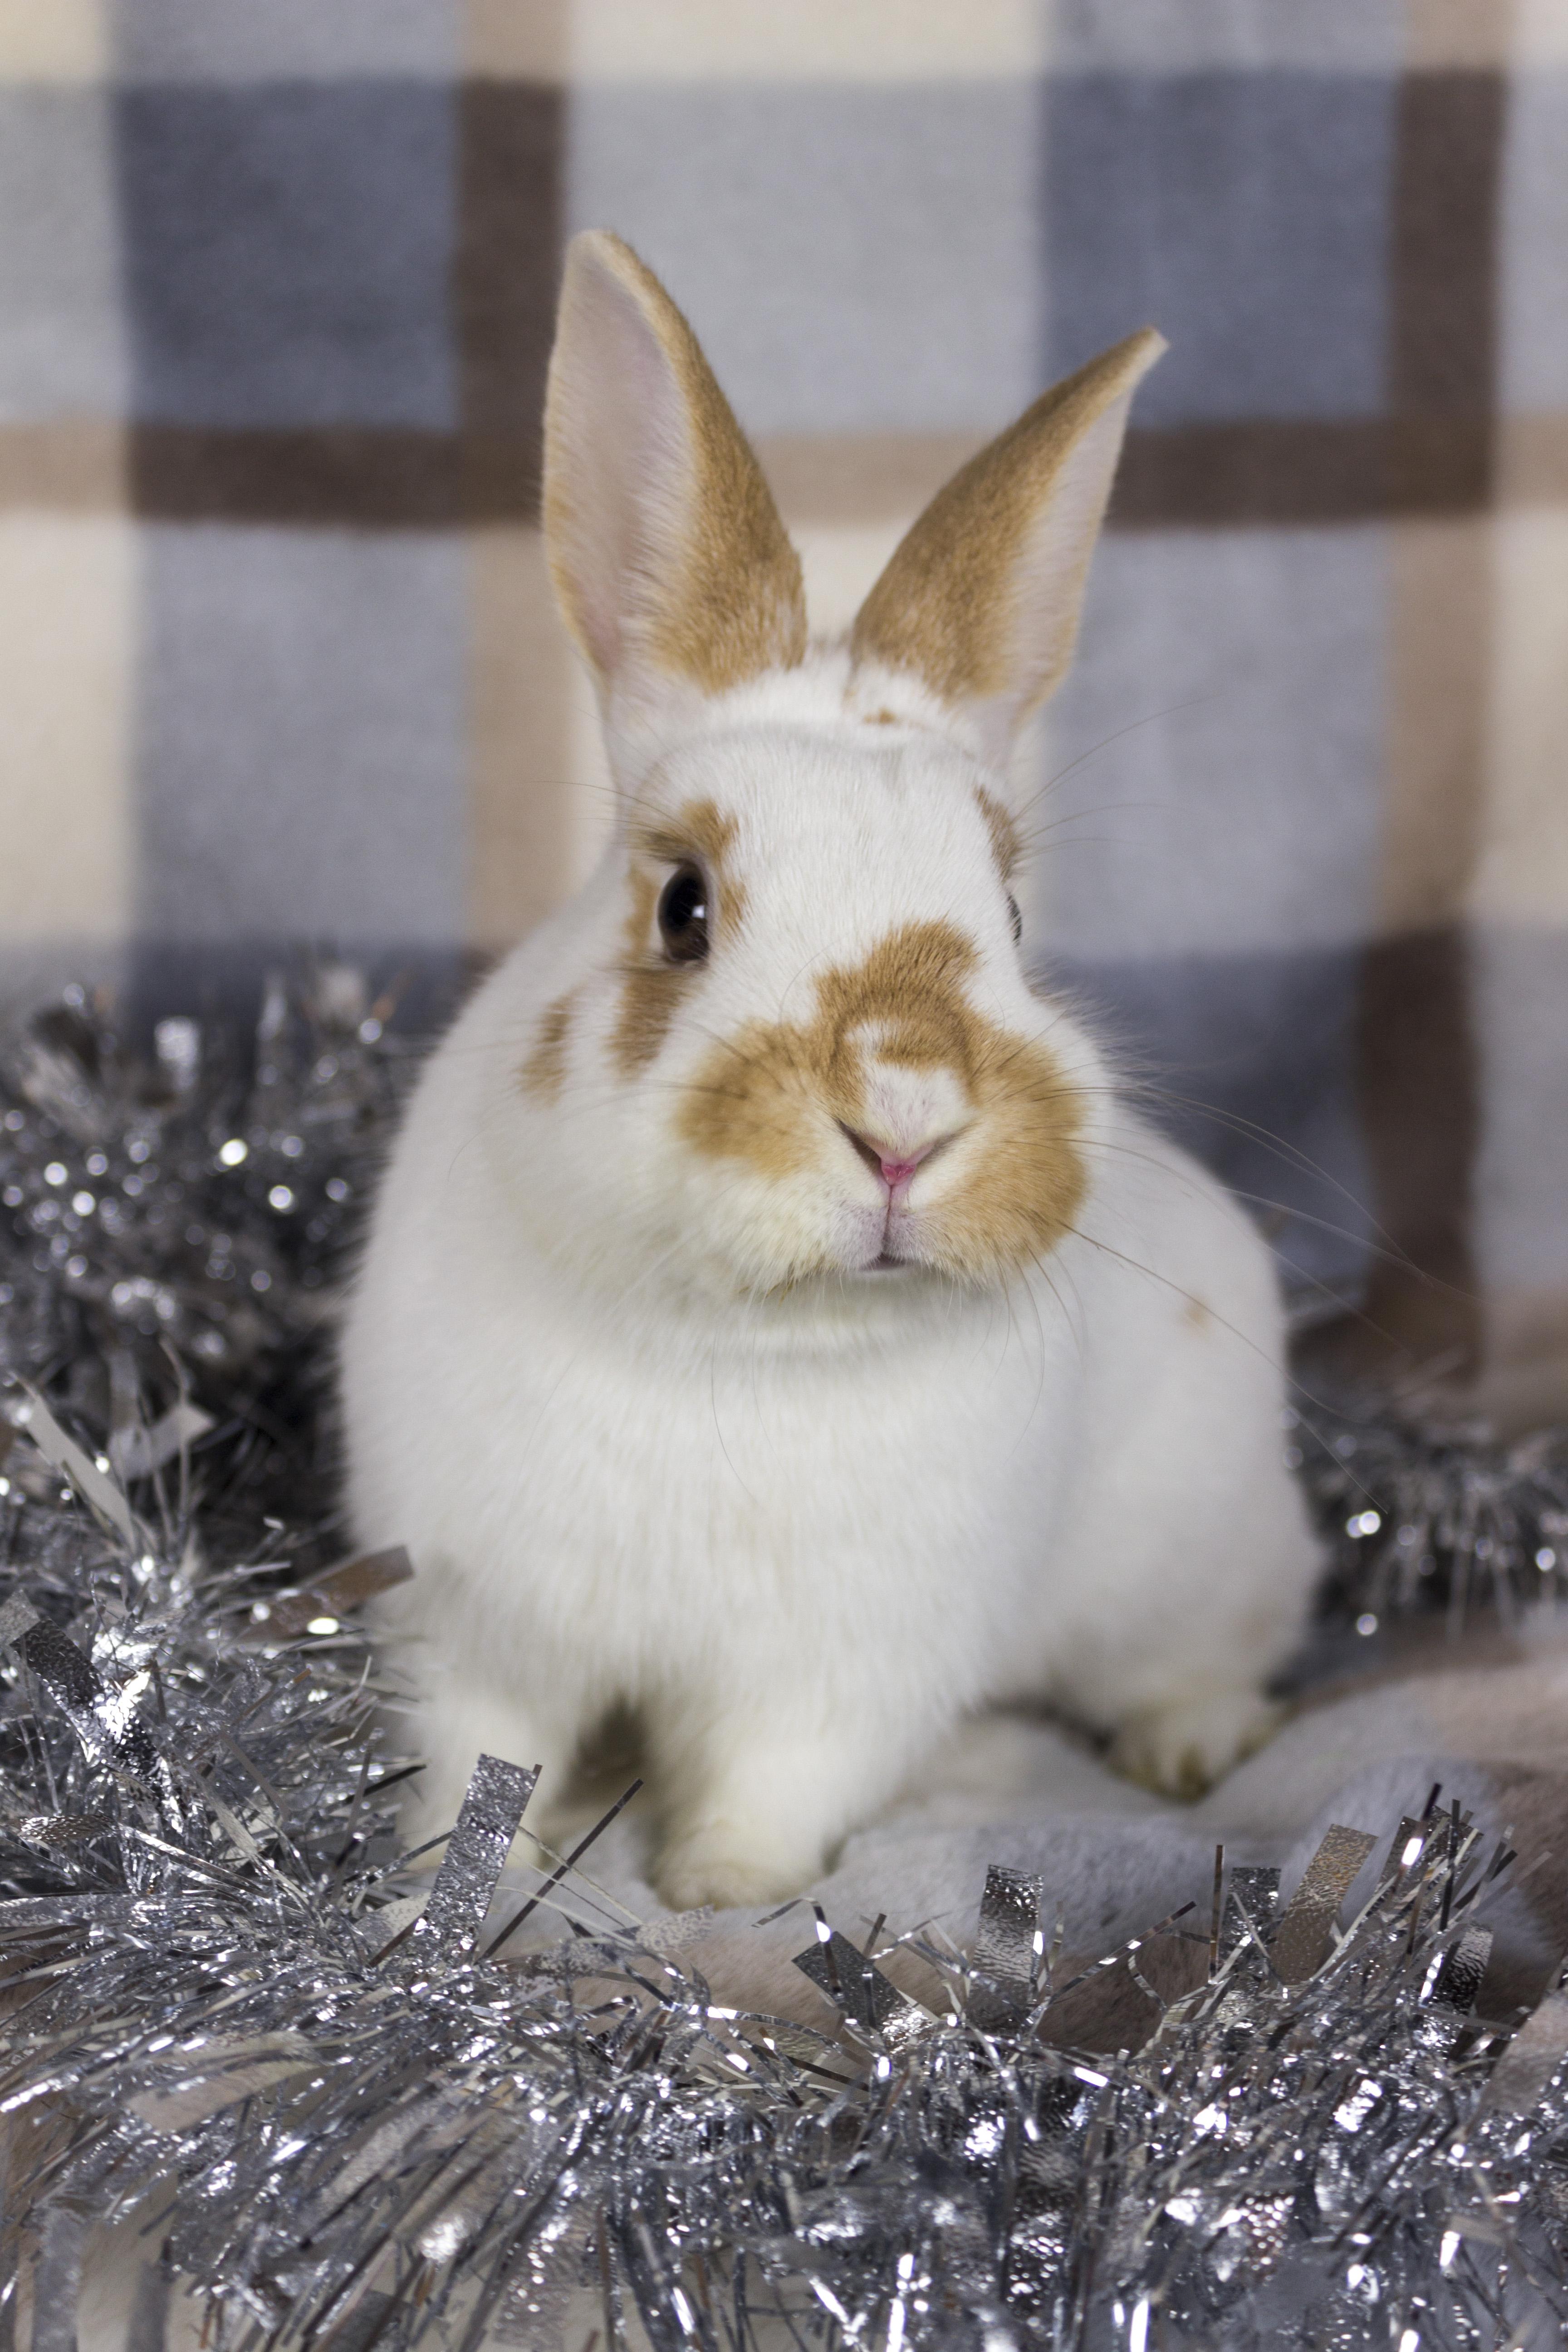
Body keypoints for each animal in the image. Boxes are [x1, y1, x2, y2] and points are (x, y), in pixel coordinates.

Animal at [340, 229, 1322, 1912]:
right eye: (682, 905)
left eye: (1011, 916)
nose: (906, 1115)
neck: (751, 1347)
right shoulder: (472, 1622)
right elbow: (475, 1764)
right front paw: (453, 1892)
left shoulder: (844, 1674)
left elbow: (776, 1782)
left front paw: (714, 1896)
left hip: (1201, 1559)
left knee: (1214, 1651)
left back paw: (1187, 1750)